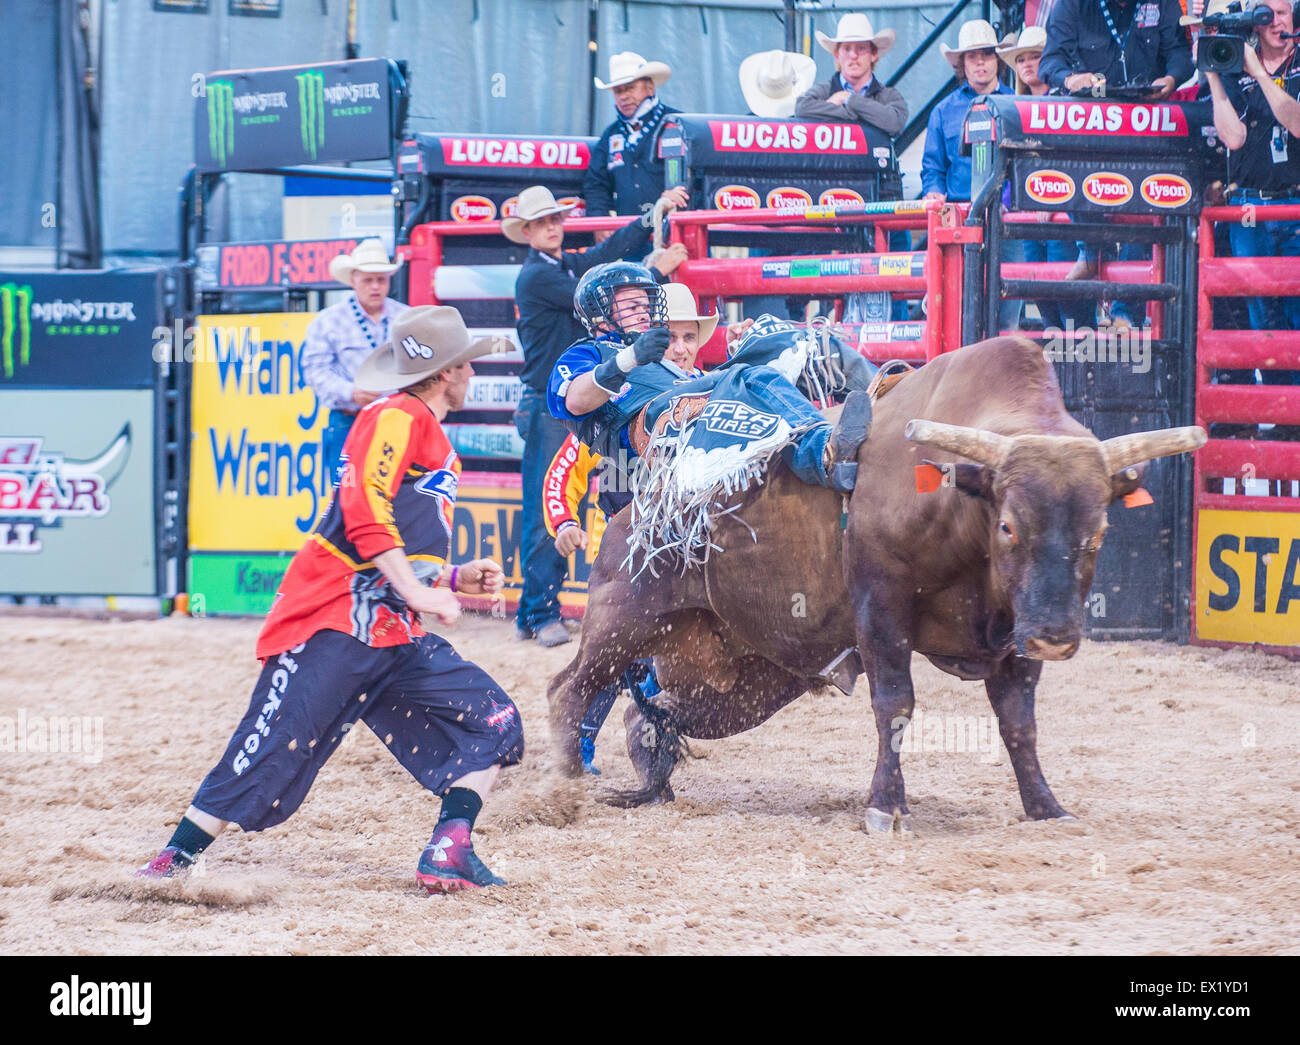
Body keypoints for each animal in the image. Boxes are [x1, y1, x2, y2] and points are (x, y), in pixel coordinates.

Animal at [546, 336, 1205, 830]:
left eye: (1100, 531)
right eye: (1010, 526)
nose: (1056, 637)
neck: (958, 502)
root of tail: (639, 506)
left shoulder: (1018, 628)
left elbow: (1019, 722)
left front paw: (1045, 807)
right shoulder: (881, 609)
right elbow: (895, 706)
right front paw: (887, 807)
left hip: (750, 679)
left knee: (651, 713)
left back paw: (651, 783)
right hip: (624, 617)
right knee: (569, 692)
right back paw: (563, 788)